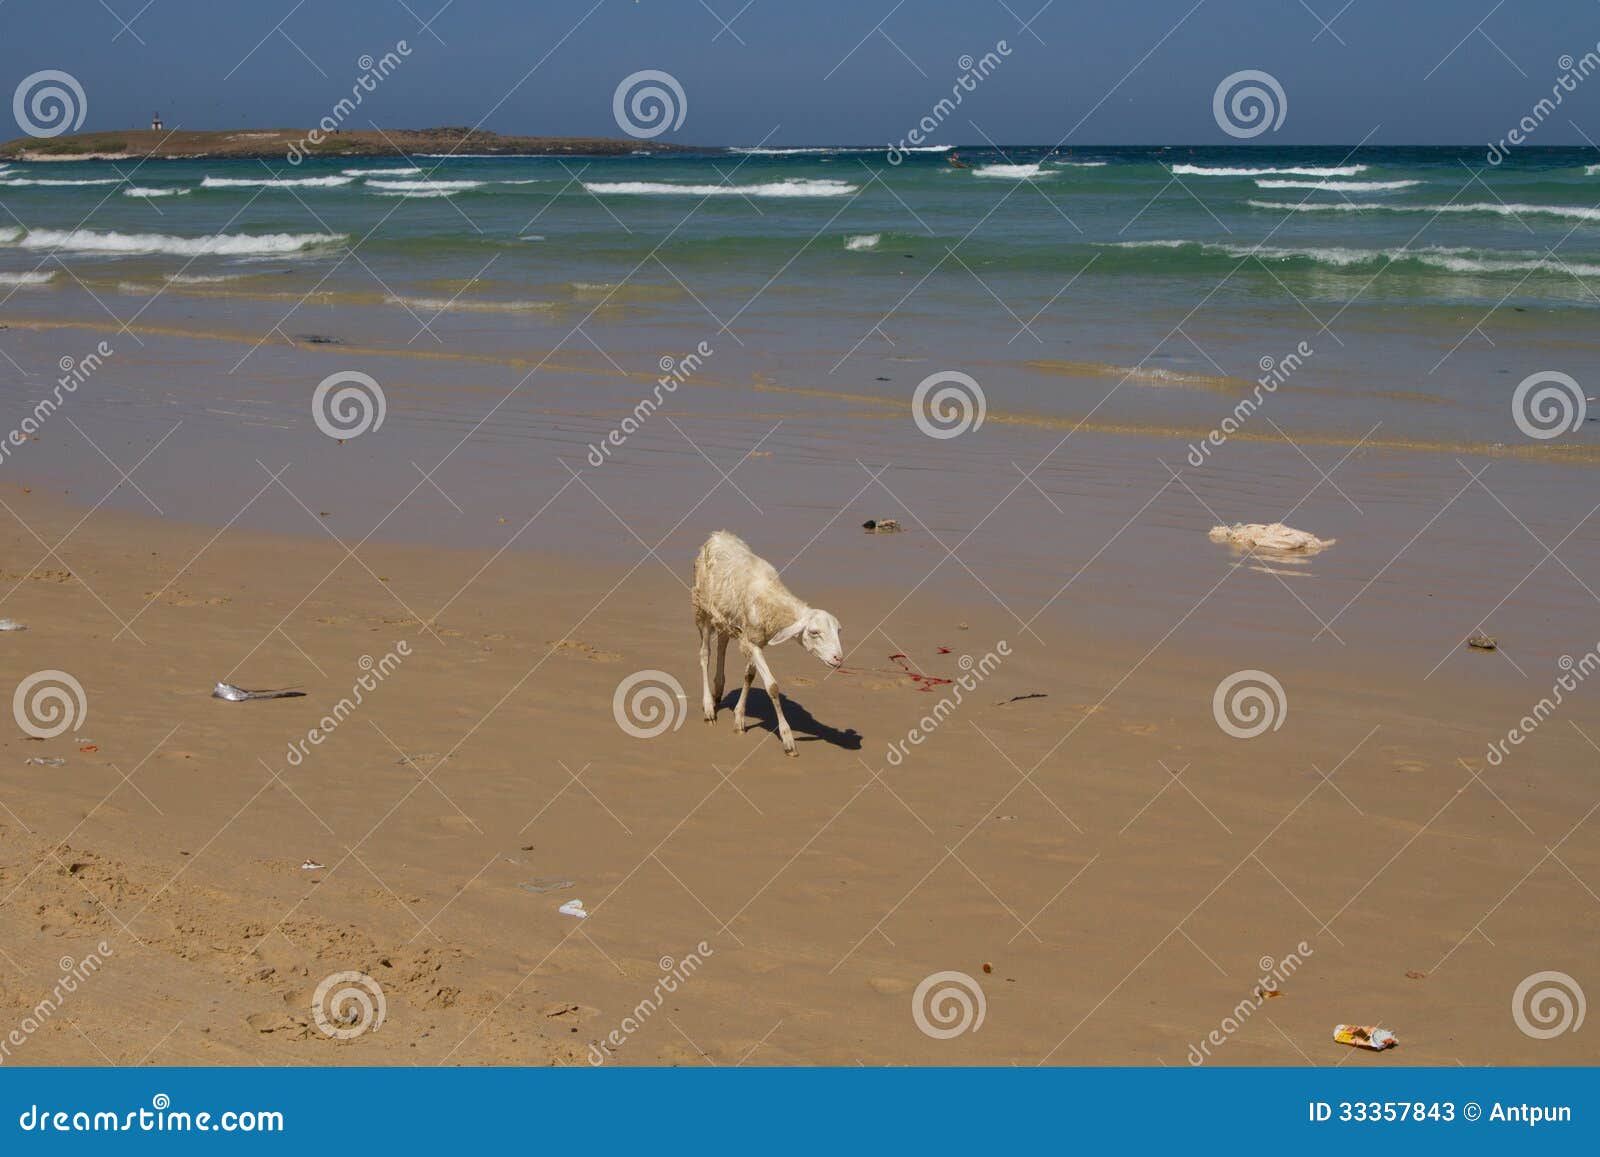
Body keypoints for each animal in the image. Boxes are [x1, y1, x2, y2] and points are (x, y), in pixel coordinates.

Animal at [692, 531, 843, 756]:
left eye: (839, 631)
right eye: (814, 632)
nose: (838, 658)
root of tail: (718, 534)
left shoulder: (757, 640)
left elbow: (749, 675)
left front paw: (739, 718)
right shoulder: (751, 642)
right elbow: (772, 686)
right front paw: (788, 738)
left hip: (725, 616)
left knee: (722, 644)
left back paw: (718, 689)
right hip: (702, 608)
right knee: (704, 654)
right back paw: (709, 707)